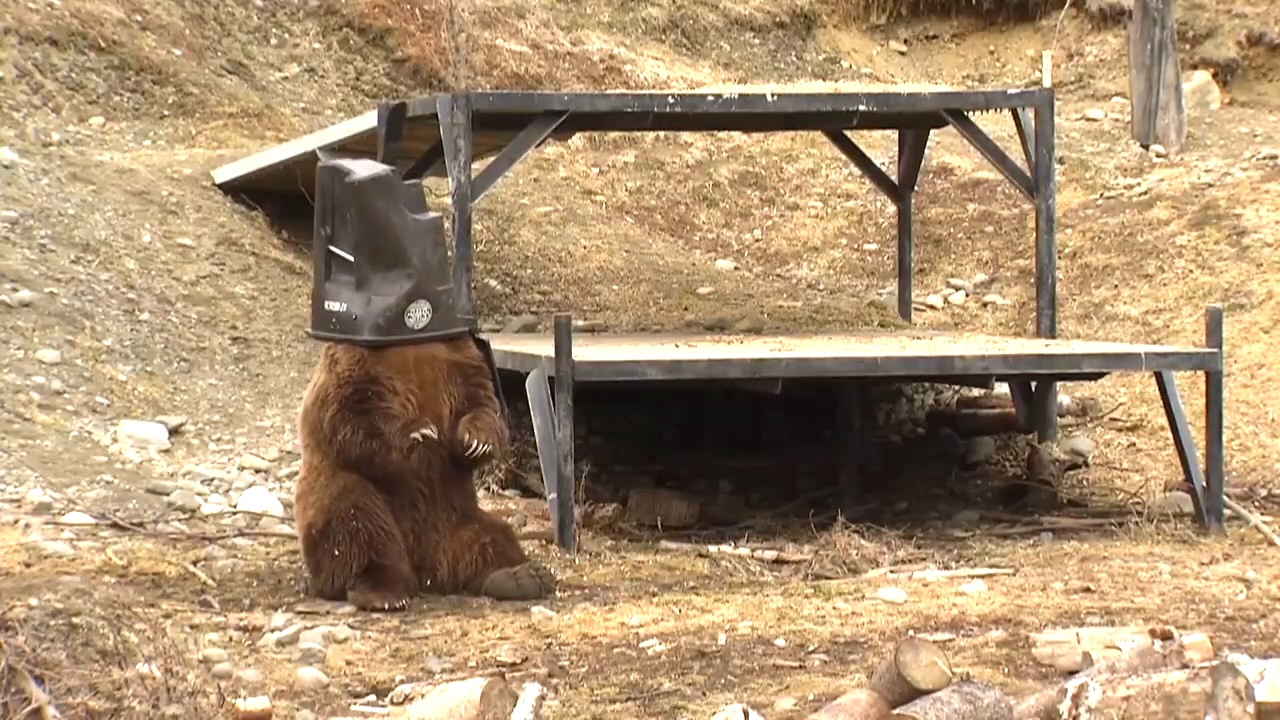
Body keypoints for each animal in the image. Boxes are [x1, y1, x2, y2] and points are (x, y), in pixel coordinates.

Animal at [292, 334, 556, 611]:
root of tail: (427, 569)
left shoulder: (460, 359)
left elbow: (480, 401)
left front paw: (476, 441)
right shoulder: (356, 366)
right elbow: (350, 414)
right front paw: (418, 431)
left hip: (457, 517)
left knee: (493, 537)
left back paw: (523, 576)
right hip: (341, 490)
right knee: (356, 517)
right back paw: (383, 592)